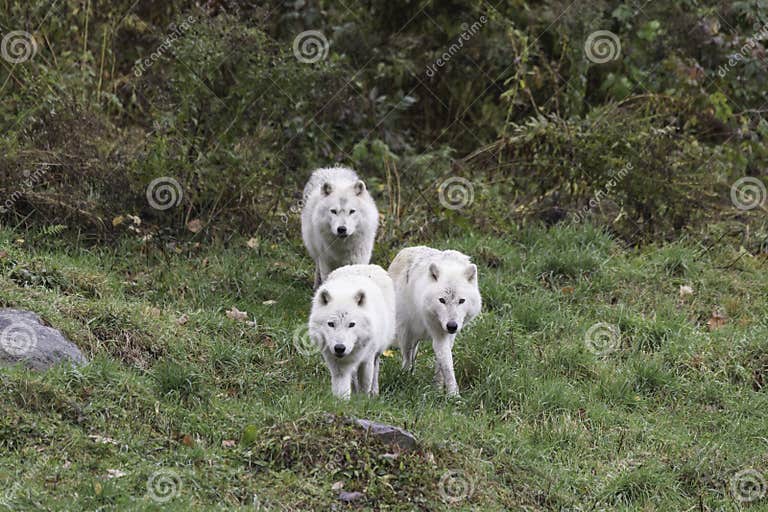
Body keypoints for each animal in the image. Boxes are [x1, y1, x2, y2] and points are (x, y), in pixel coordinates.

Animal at [308, 264, 395, 399]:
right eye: (331, 324)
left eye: (351, 324)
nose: (339, 348)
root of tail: (364, 265)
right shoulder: (336, 364)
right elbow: (341, 386)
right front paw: (341, 400)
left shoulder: (367, 360)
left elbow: (365, 385)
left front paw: (363, 400)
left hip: (378, 350)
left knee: (376, 368)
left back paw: (374, 392)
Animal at [388, 246, 481, 396]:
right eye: (442, 300)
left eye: (461, 301)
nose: (452, 326)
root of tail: (403, 251)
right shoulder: (438, 334)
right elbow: (447, 365)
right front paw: (454, 396)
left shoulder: (448, 336)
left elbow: (441, 364)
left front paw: (437, 388)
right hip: (406, 334)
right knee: (407, 358)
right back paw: (405, 377)